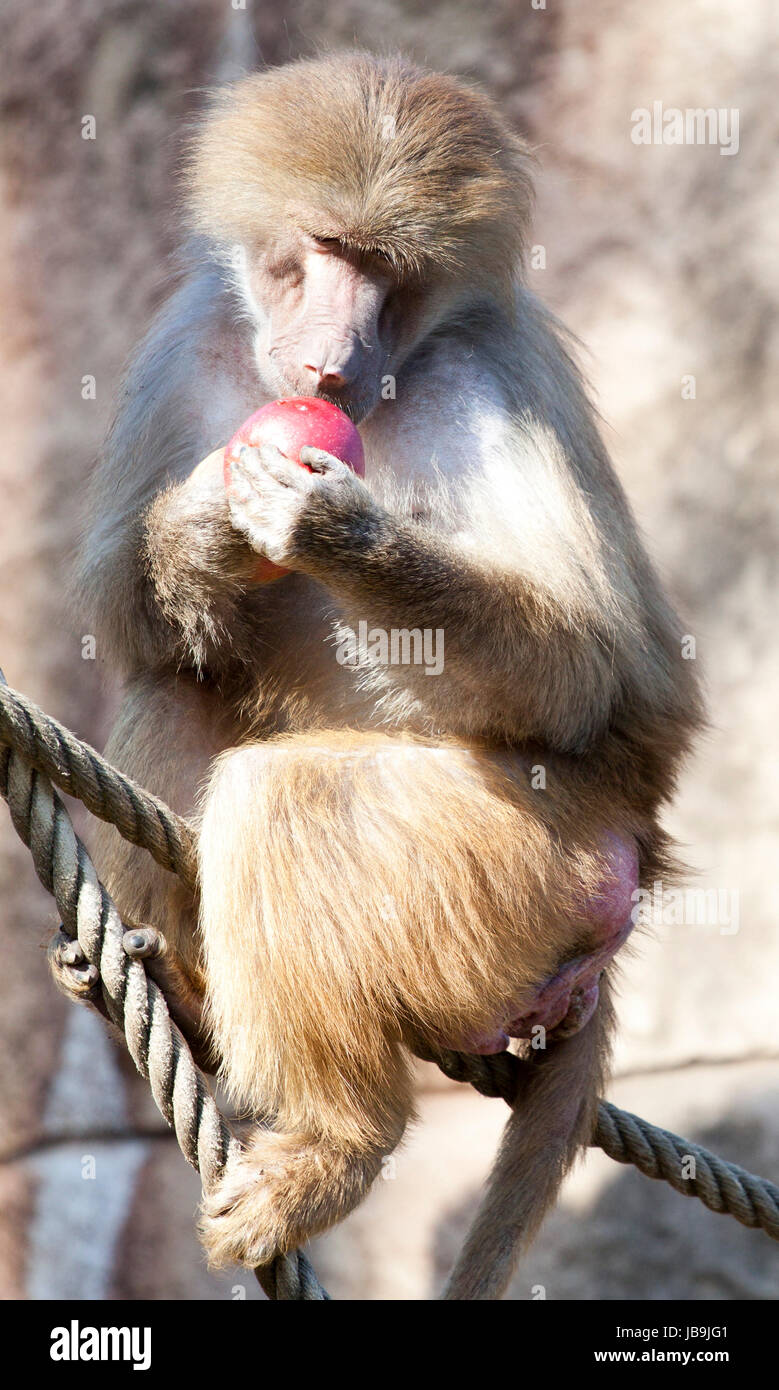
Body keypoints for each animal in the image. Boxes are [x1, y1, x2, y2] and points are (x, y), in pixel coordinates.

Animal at [53, 52, 703, 1299]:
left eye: (386, 271)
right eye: (320, 248)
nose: (326, 363)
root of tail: (631, 862)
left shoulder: (491, 375)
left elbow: (596, 672)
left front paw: (333, 529)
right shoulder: (182, 338)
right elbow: (128, 615)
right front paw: (204, 531)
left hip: (528, 868)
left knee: (291, 799)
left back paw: (331, 1145)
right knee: (177, 683)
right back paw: (184, 1004)